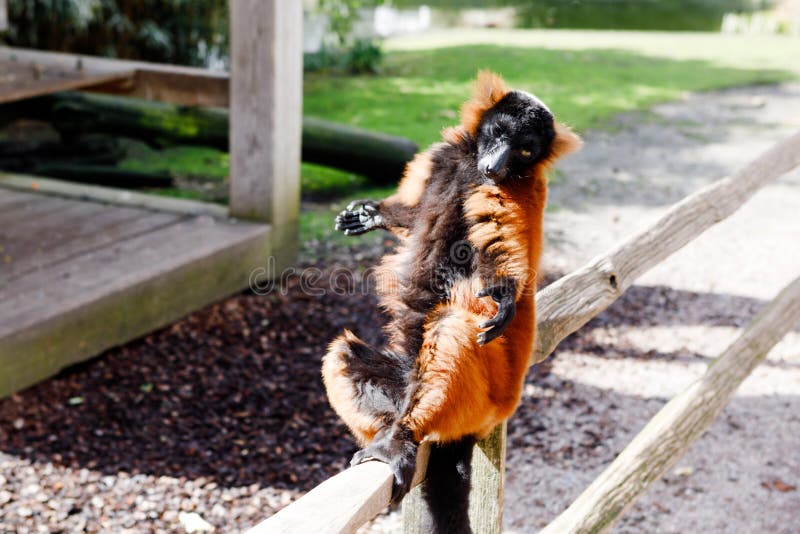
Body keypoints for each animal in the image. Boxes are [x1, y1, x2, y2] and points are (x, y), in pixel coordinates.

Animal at [321, 71, 581, 533]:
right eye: (499, 134)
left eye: (525, 150)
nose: (495, 164)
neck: (470, 165)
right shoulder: (449, 158)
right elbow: (414, 215)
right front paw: (373, 214)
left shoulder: (514, 188)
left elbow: (496, 240)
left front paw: (504, 292)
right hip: (399, 382)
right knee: (344, 354)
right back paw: (390, 432)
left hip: (484, 397)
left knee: (449, 329)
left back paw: (401, 441)